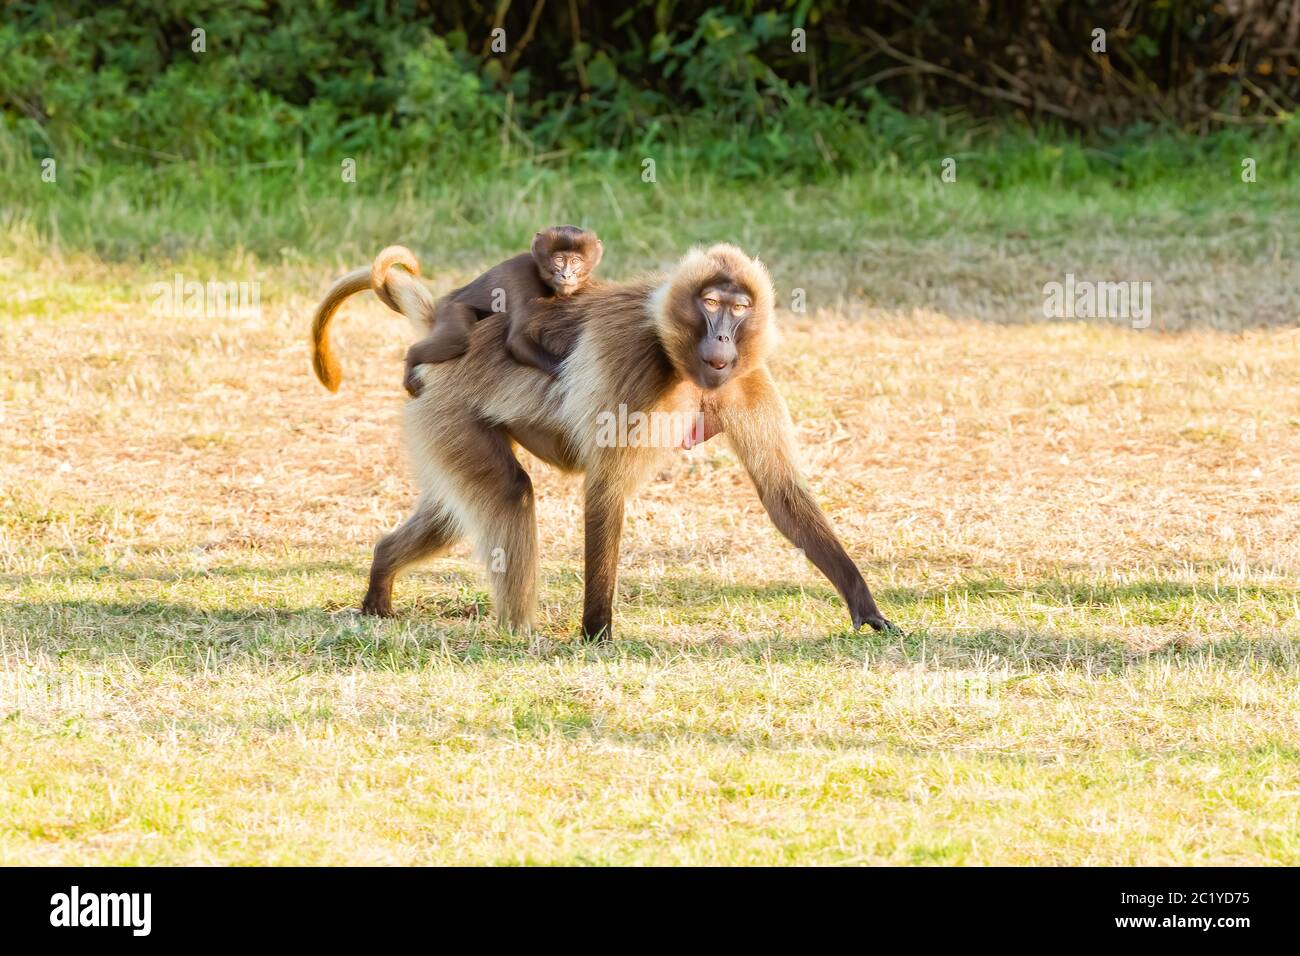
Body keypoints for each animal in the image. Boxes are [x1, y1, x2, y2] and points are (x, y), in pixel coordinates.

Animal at [309, 242, 895, 641]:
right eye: (710, 302)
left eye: (740, 307)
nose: (724, 338)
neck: (677, 356)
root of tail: (443, 331)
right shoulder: (630, 362)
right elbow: (605, 491)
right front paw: (596, 631)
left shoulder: (746, 381)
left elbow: (781, 495)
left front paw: (866, 609)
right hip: (447, 411)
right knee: (509, 494)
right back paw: (519, 632)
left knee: (454, 512)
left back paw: (381, 578)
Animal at [400, 225, 602, 396]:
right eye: (559, 259)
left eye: (575, 261)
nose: (566, 275)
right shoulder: (525, 280)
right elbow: (517, 340)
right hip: (450, 308)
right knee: (457, 339)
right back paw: (412, 357)